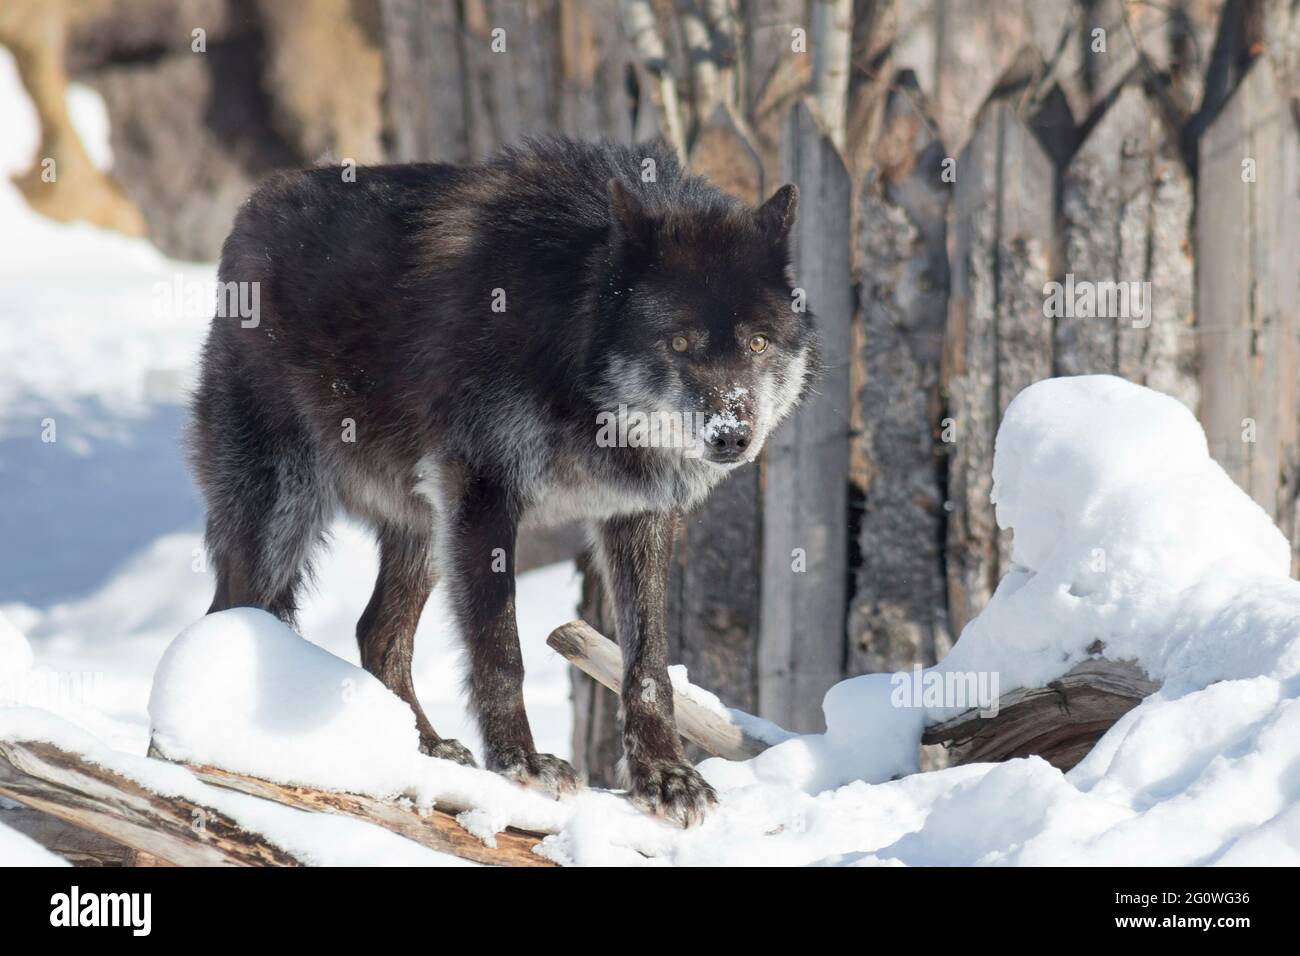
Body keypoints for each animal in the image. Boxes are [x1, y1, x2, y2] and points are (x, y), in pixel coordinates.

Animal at [188, 138, 814, 825]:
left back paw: (421, 748)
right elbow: (500, 650)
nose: (731, 435)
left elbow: (648, 664)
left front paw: (665, 776)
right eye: (679, 342)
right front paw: (521, 764)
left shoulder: (637, 514)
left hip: (426, 528)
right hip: (285, 515)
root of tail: (252, 208)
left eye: (758, 344)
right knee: (235, 614)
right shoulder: (484, 492)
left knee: (376, 633)